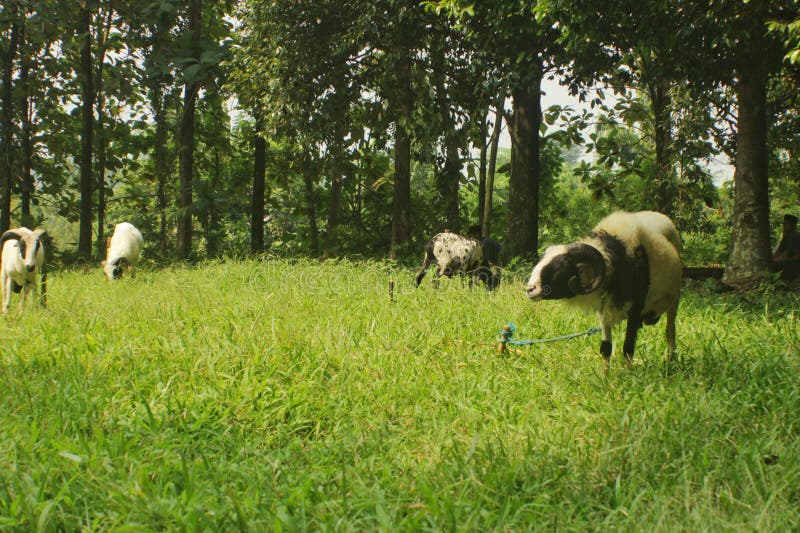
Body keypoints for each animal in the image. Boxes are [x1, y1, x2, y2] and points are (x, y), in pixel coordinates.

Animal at [526, 211, 682, 365]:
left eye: (559, 267)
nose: (530, 289)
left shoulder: (636, 310)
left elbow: (628, 349)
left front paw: (630, 372)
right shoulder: (604, 312)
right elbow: (606, 350)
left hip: (674, 299)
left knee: (670, 330)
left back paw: (670, 360)